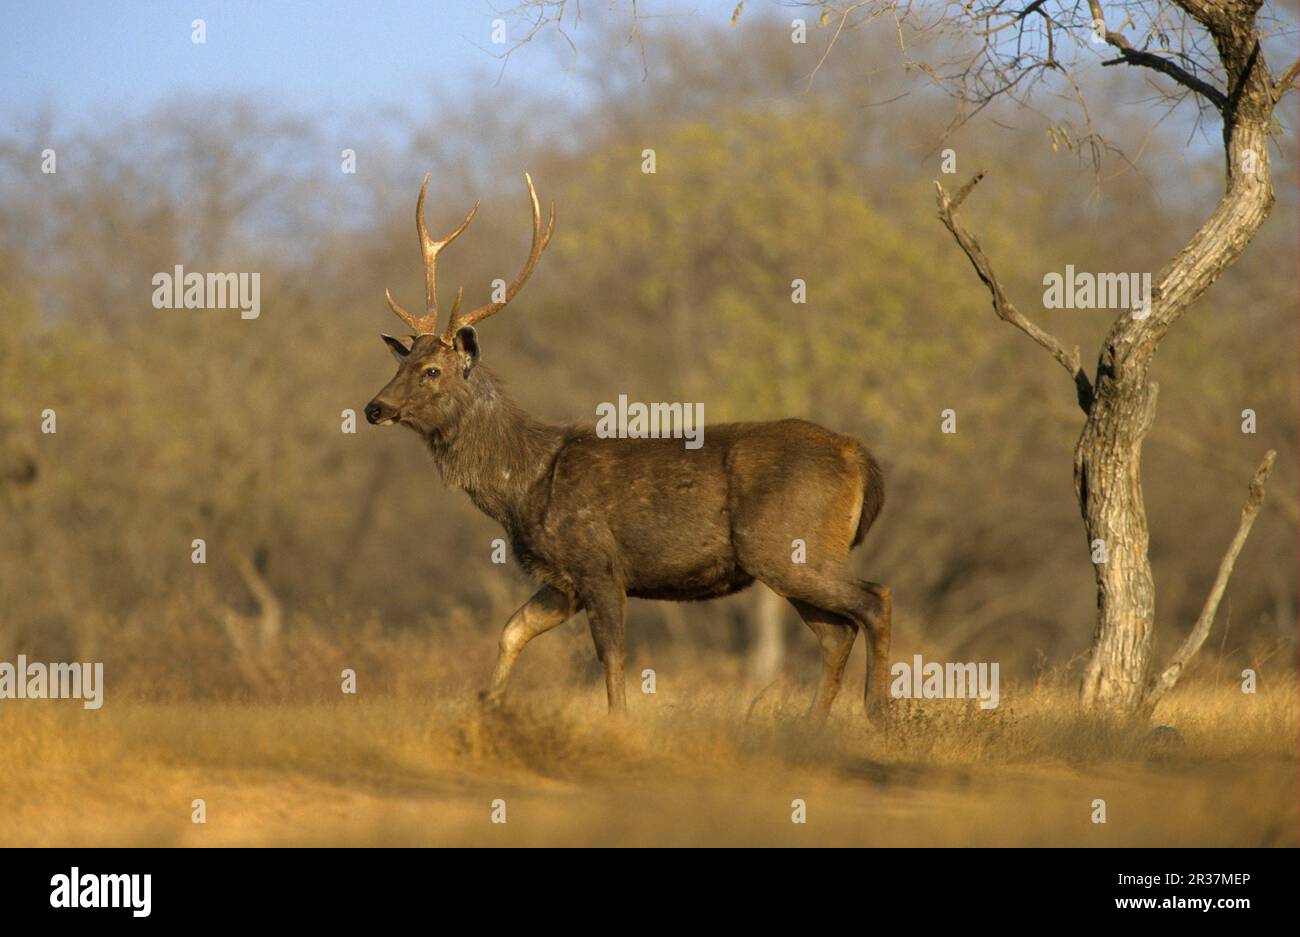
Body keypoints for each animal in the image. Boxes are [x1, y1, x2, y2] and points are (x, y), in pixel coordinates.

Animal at [365, 174, 891, 720]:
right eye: (401, 363)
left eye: (432, 371)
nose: (374, 408)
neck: (525, 485)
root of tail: (857, 457)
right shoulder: (563, 580)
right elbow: (511, 631)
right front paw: (488, 708)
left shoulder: (598, 563)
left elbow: (611, 657)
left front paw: (616, 723)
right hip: (793, 555)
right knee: (837, 632)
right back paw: (814, 724)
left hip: (788, 544)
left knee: (874, 600)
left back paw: (879, 711)